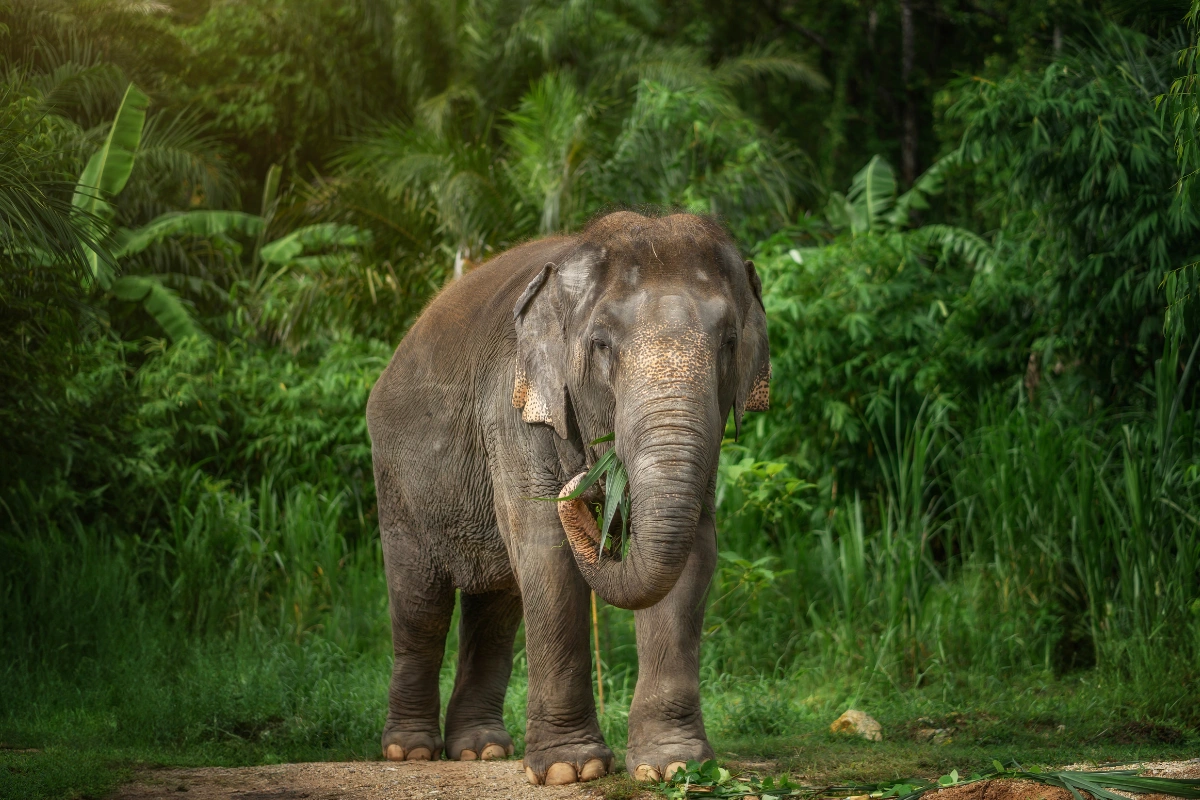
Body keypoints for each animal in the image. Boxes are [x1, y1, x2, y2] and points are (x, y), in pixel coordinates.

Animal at [365, 210, 770, 786]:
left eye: (730, 341)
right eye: (600, 344)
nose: (586, 492)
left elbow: (693, 549)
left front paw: (674, 767)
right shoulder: (512, 409)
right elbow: (546, 553)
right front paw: (569, 769)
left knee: (495, 611)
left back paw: (480, 751)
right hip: (397, 480)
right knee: (421, 604)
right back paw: (411, 752)